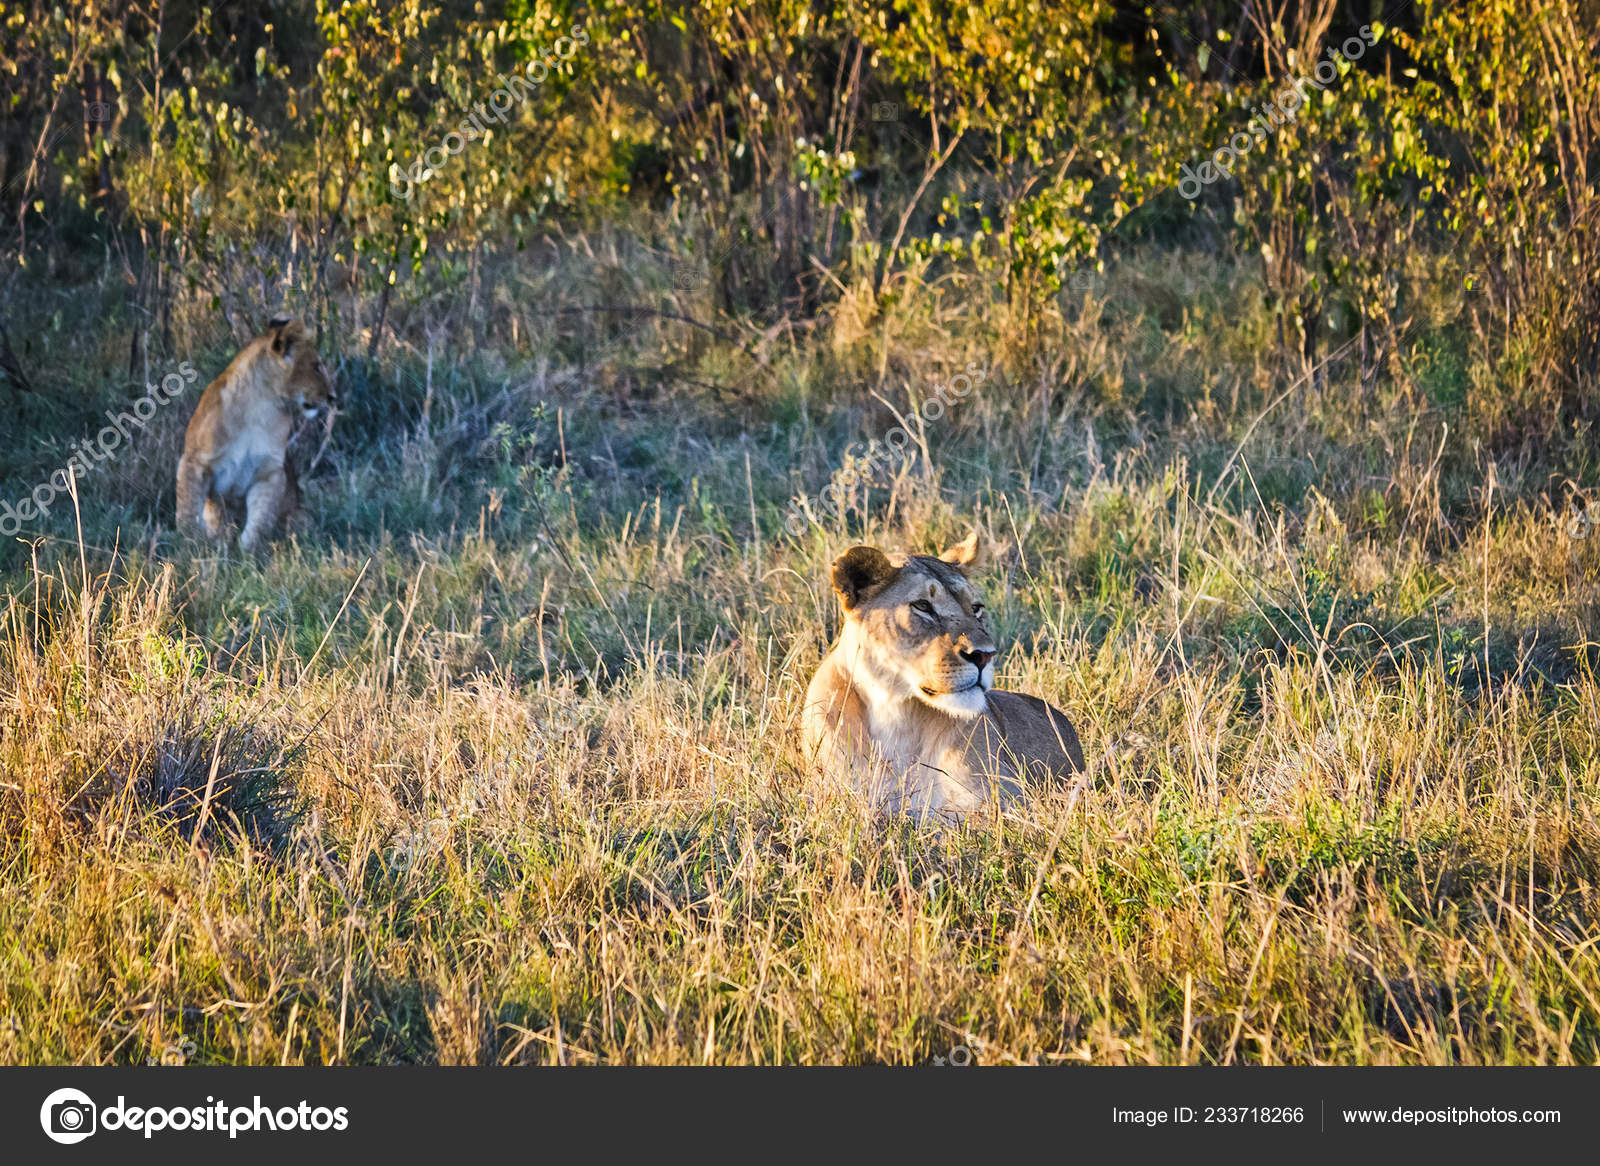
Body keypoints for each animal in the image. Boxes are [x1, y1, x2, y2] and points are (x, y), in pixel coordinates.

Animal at [176, 316, 336, 551]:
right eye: (316, 367)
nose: (333, 397)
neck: (260, 405)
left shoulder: (269, 471)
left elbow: (261, 517)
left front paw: (247, 551)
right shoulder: (195, 461)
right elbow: (188, 509)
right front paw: (190, 544)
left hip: (301, 516)